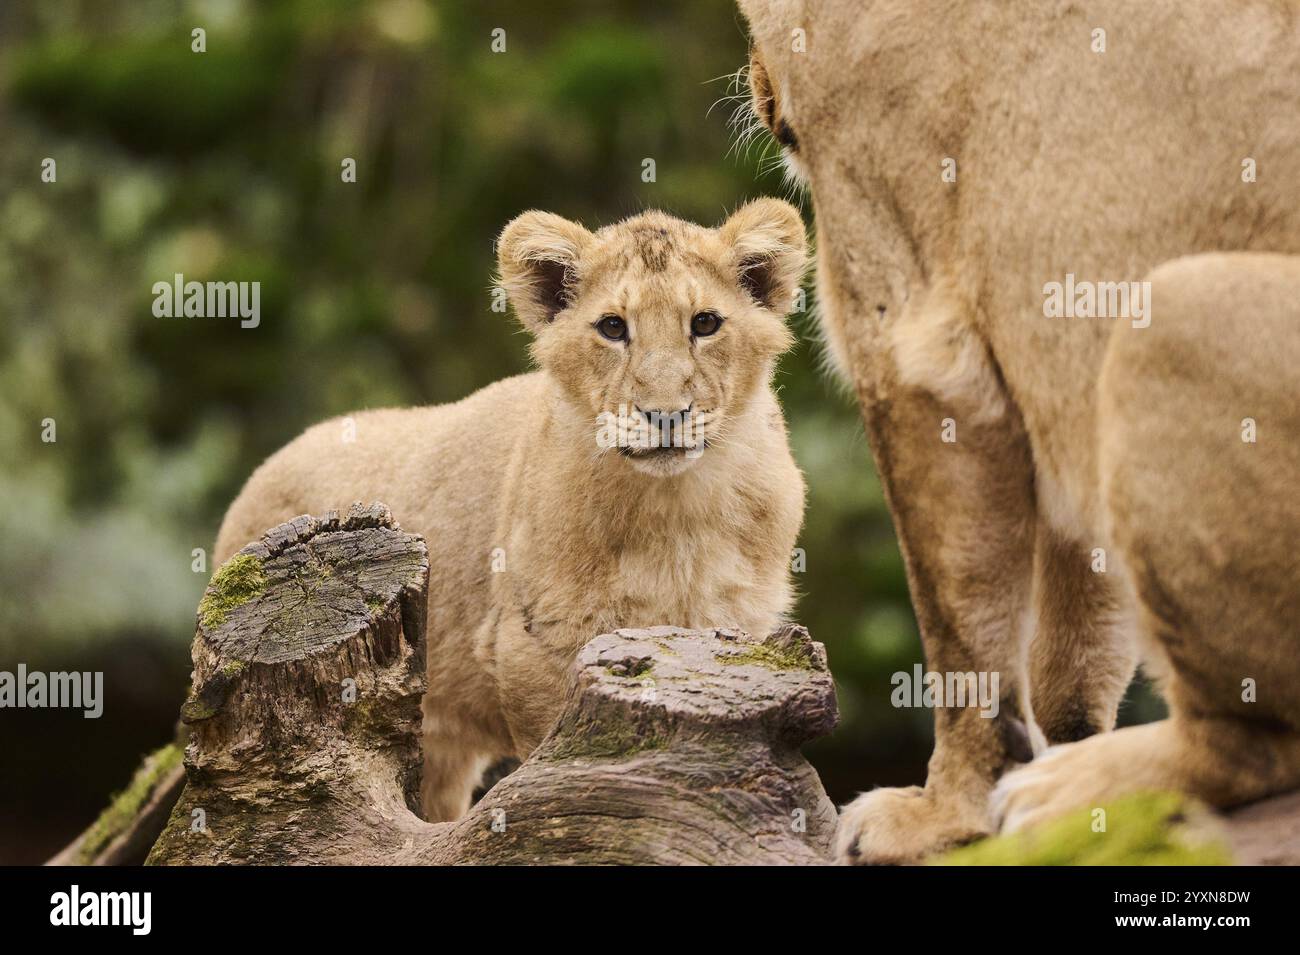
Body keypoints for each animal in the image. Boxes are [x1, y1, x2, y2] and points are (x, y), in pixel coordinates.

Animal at [738, 0, 1300, 862]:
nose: (753, 78)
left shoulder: (910, 333)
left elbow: (959, 620)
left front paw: (947, 809)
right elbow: (1074, 629)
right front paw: (1058, 745)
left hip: (1172, 315)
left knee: (1262, 740)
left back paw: (1070, 787)